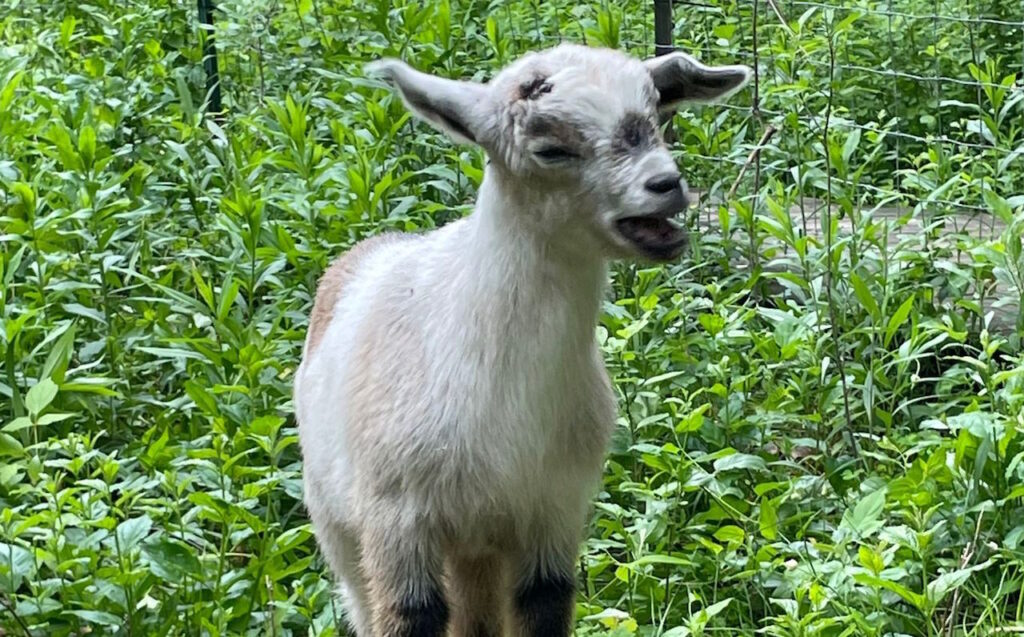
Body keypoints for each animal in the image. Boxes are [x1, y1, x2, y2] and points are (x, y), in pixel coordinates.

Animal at [294, 43, 750, 637]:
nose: (666, 185)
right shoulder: (396, 520)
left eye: (656, 113)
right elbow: (408, 616)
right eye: (549, 148)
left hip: (478, 547)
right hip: (341, 528)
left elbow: (543, 607)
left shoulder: (553, 512)